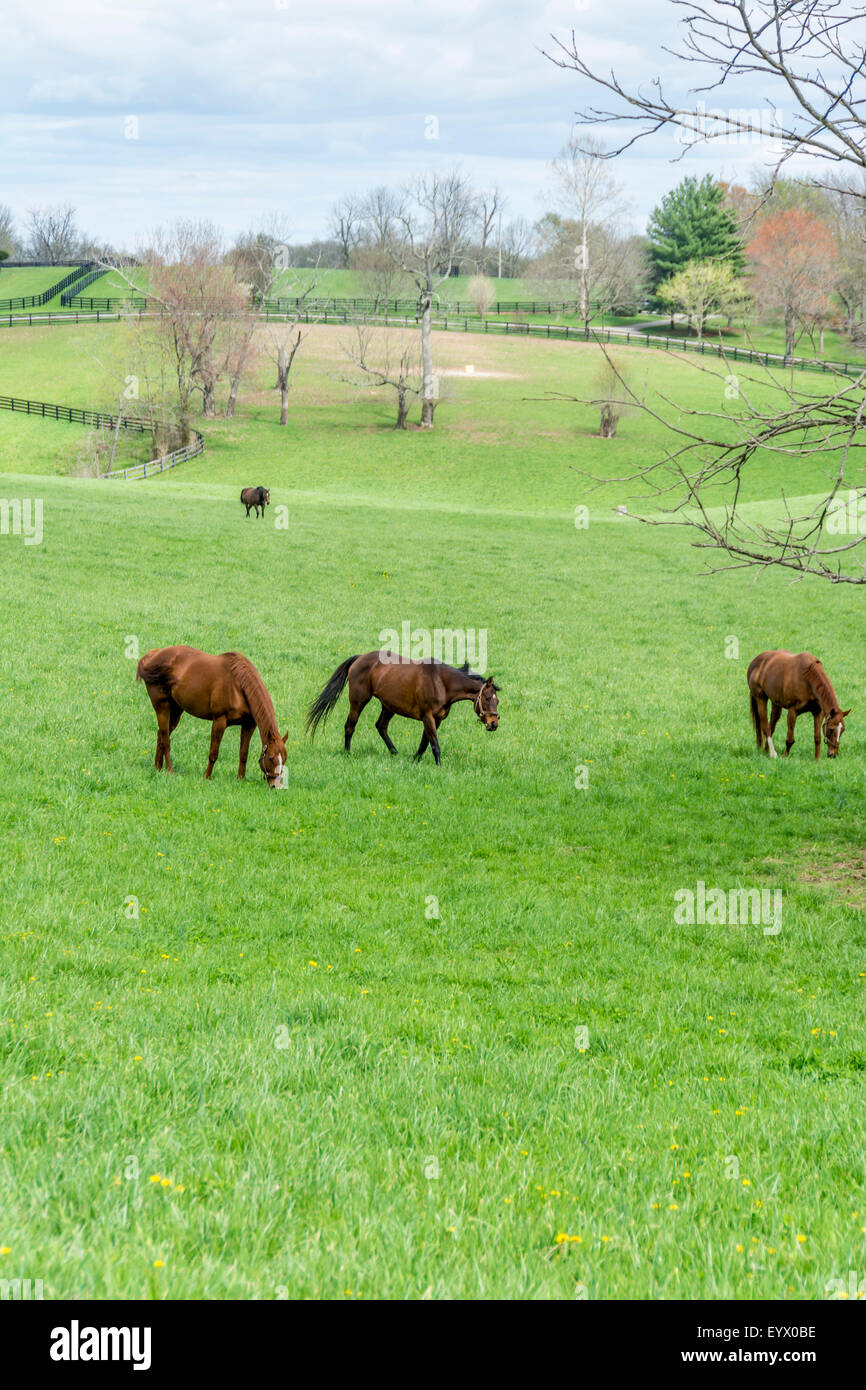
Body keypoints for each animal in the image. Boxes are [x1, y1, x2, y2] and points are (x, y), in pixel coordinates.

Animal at [137, 646, 288, 785]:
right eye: (270, 758)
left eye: (284, 759)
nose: (276, 785)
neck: (238, 685)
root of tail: (152, 655)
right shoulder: (219, 721)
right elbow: (213, 753)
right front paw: (207, 777)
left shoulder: (248, 725)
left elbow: (243, 754)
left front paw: (240, 779)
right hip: (162, 707)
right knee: (166, 740)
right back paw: (169, 770)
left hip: (176, 710)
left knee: (162, 735)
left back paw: (158, 767)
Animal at [306, 651, 500, 765]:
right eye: (487, 698)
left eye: (497, 701)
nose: (494, 724)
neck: (442, 682)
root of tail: (360, 657)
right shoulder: (428, 716)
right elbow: (434, 744)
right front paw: (439, 765)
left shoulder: (436, 719)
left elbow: (425, 742)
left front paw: (415, 760)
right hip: (358, 701)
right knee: (350, 726)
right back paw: (347, 753)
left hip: (388, 706)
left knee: (381, 726)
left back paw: (394, 753)